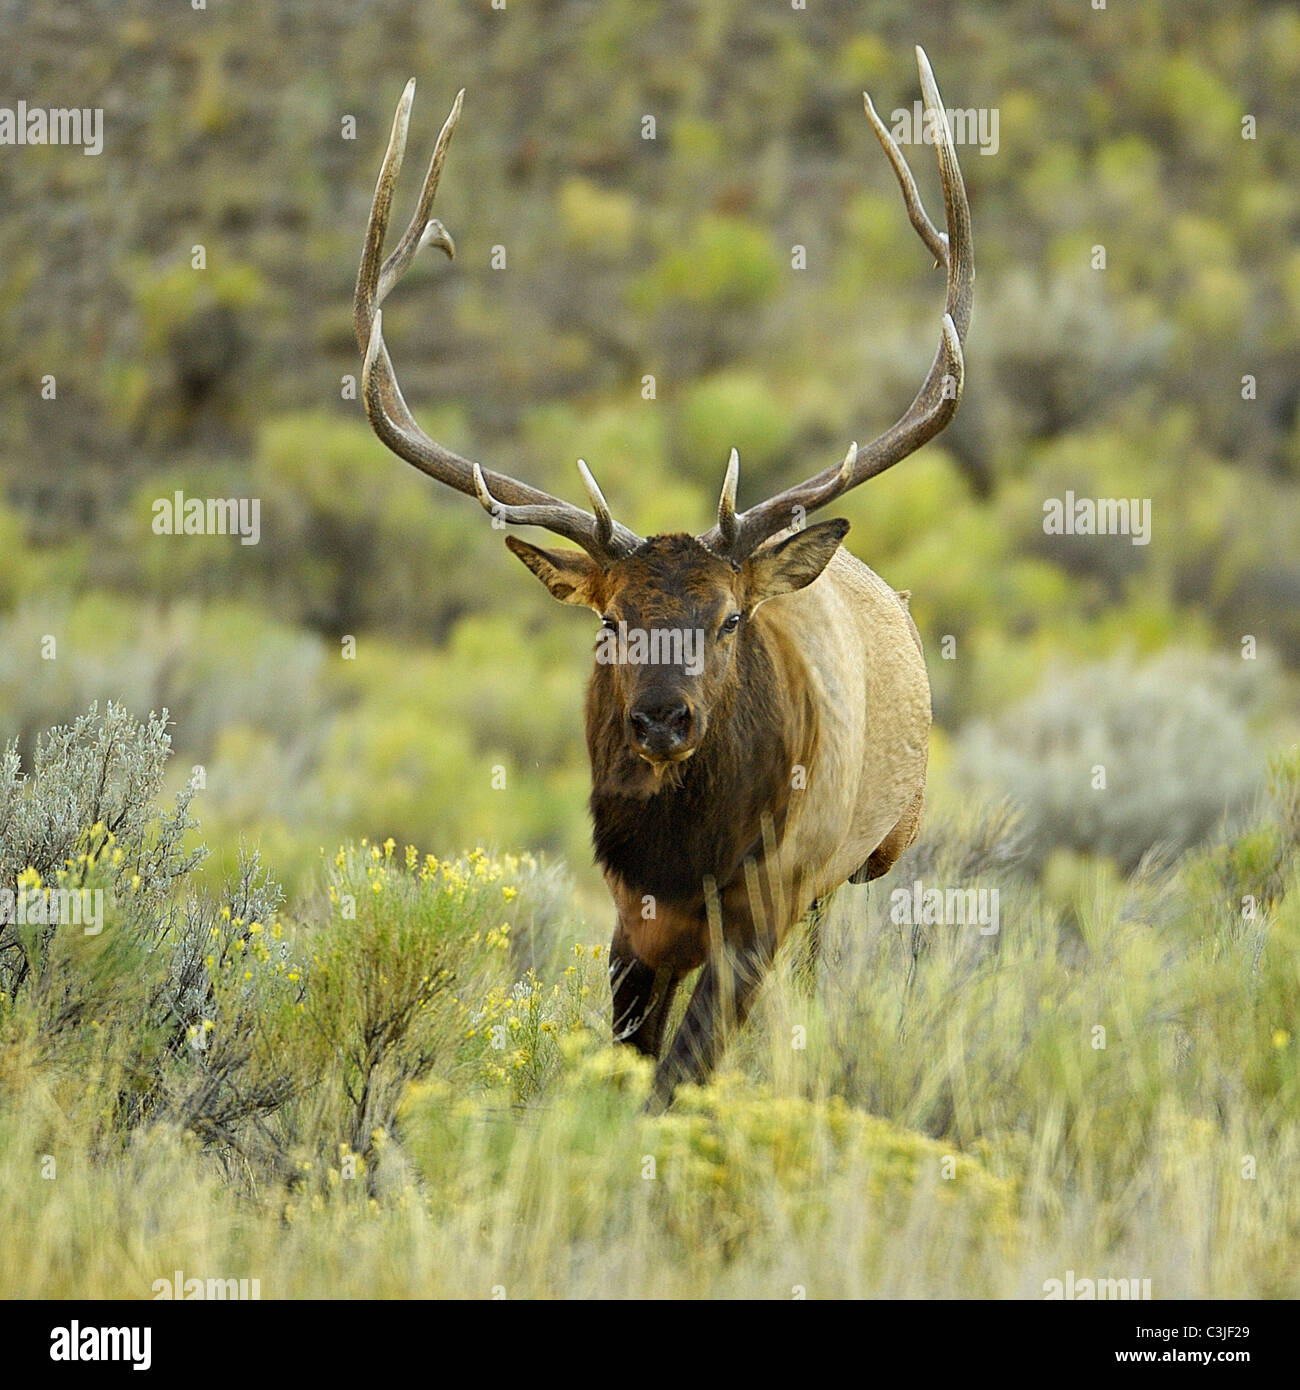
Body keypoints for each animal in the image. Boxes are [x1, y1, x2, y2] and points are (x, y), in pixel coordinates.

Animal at [350, 46, 973, 1106]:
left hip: (866, 858)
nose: (660, 719)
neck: (684, 858)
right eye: (610, 621)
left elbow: (683, 1076)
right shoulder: (628, 918)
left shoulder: (763, 908)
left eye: (728, 620)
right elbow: (630, 1069)